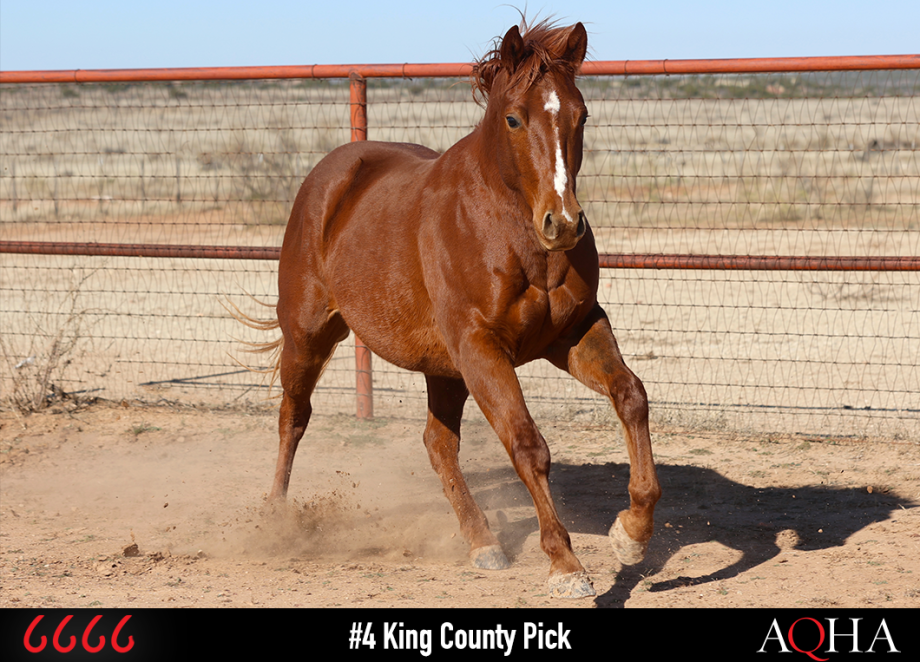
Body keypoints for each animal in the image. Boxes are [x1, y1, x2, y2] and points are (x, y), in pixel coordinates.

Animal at [254, 20, 661, 599]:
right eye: (514, 117)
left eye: (580, 115)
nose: (562, 223)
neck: (510, 231)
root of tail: (331, 174)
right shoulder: (481, 347)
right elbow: (527, 444)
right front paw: (566, 566)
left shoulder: (575, 333)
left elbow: (631, 397)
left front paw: (631, 533)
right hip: (309, 336)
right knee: (293, 419)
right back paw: (275, 519)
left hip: (443, 368)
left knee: (437, 444)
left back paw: (483, 541)